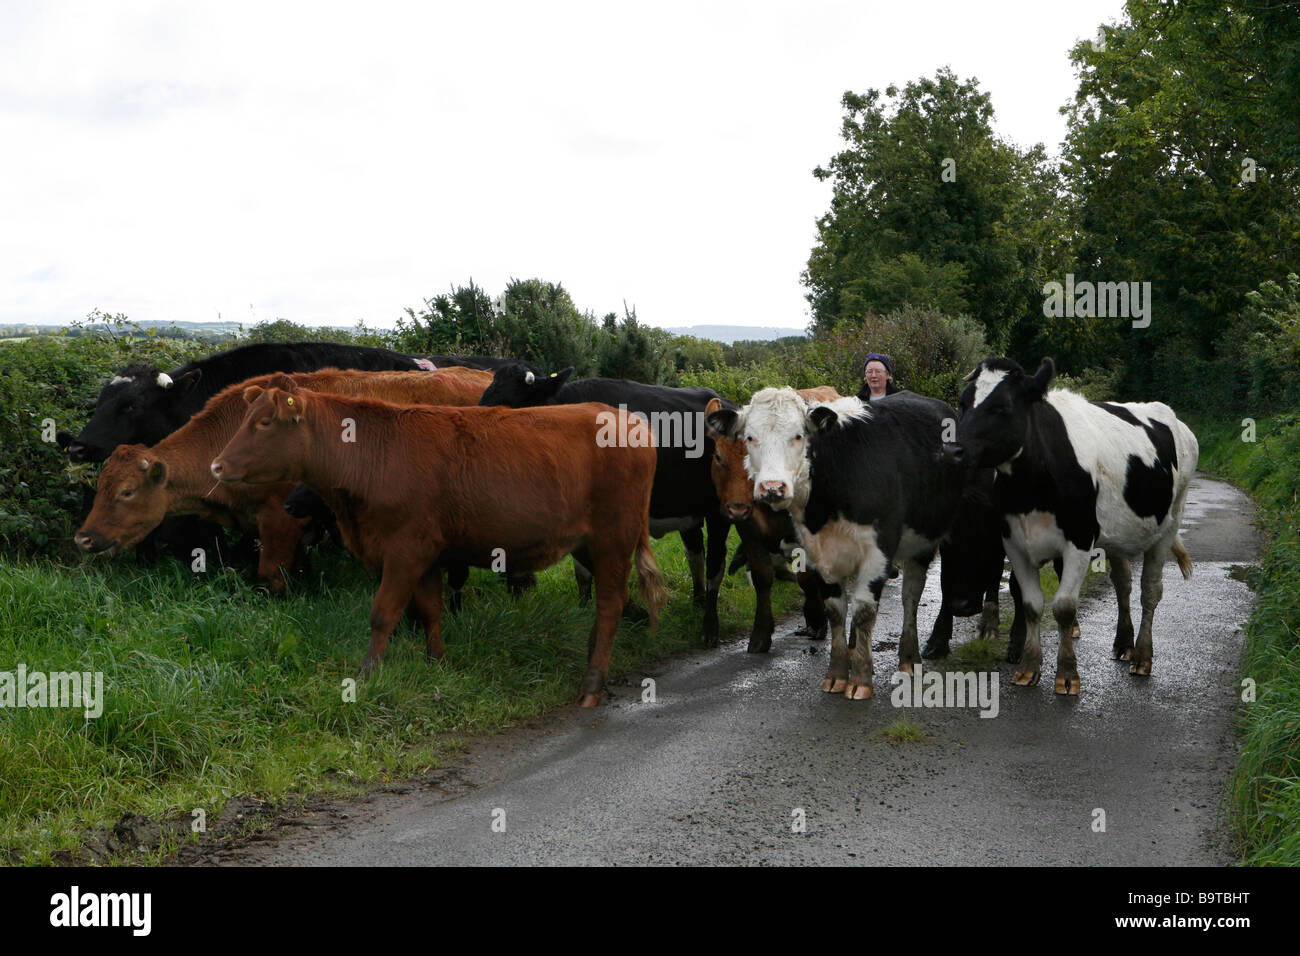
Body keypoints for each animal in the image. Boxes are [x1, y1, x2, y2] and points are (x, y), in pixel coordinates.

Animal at [210, 375, 666, 705]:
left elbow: (383, 613)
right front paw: (436, 664)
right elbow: (430, 610)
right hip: (591, 543)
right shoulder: (426, 556)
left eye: (264, 422)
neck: (375, 456)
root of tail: (624, 418)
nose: (217, 465)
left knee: (611, 603)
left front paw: (366, 674)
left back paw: (591, 683)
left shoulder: (404, 551)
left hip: (613, 538)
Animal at [480, 364, 731, 643]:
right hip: (687, 508)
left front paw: (633, 613)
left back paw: (709, 627)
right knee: (695, 551)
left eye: (511, 406)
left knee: (715, 564)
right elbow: (582, 571)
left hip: (719, 510)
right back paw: (697, 602)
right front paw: (582, 611)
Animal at [707, 388, 968, 699]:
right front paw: (837, 674)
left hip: (934, 538)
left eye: (798, 435)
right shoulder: (818, 552)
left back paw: (912, 656)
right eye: (749, 437)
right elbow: (836, 611)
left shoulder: (879, 552)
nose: (772, 488)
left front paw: (861, 678)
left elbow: (865, 611)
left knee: (912, 595)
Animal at [939, 357, 1197, 693]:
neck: (1030, 489)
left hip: (1168, 526)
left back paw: (1142, 656)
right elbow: (1032, 604)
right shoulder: (1014, 543)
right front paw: (1028, 667)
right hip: (1119, 535)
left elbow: (1063, 607)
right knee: (1123, 584)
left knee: (1150, 590)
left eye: (1002, 407)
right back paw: (1124, 644)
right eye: (962, 402)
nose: (951, 451)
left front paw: (1066, 674)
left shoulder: (1079, 540)